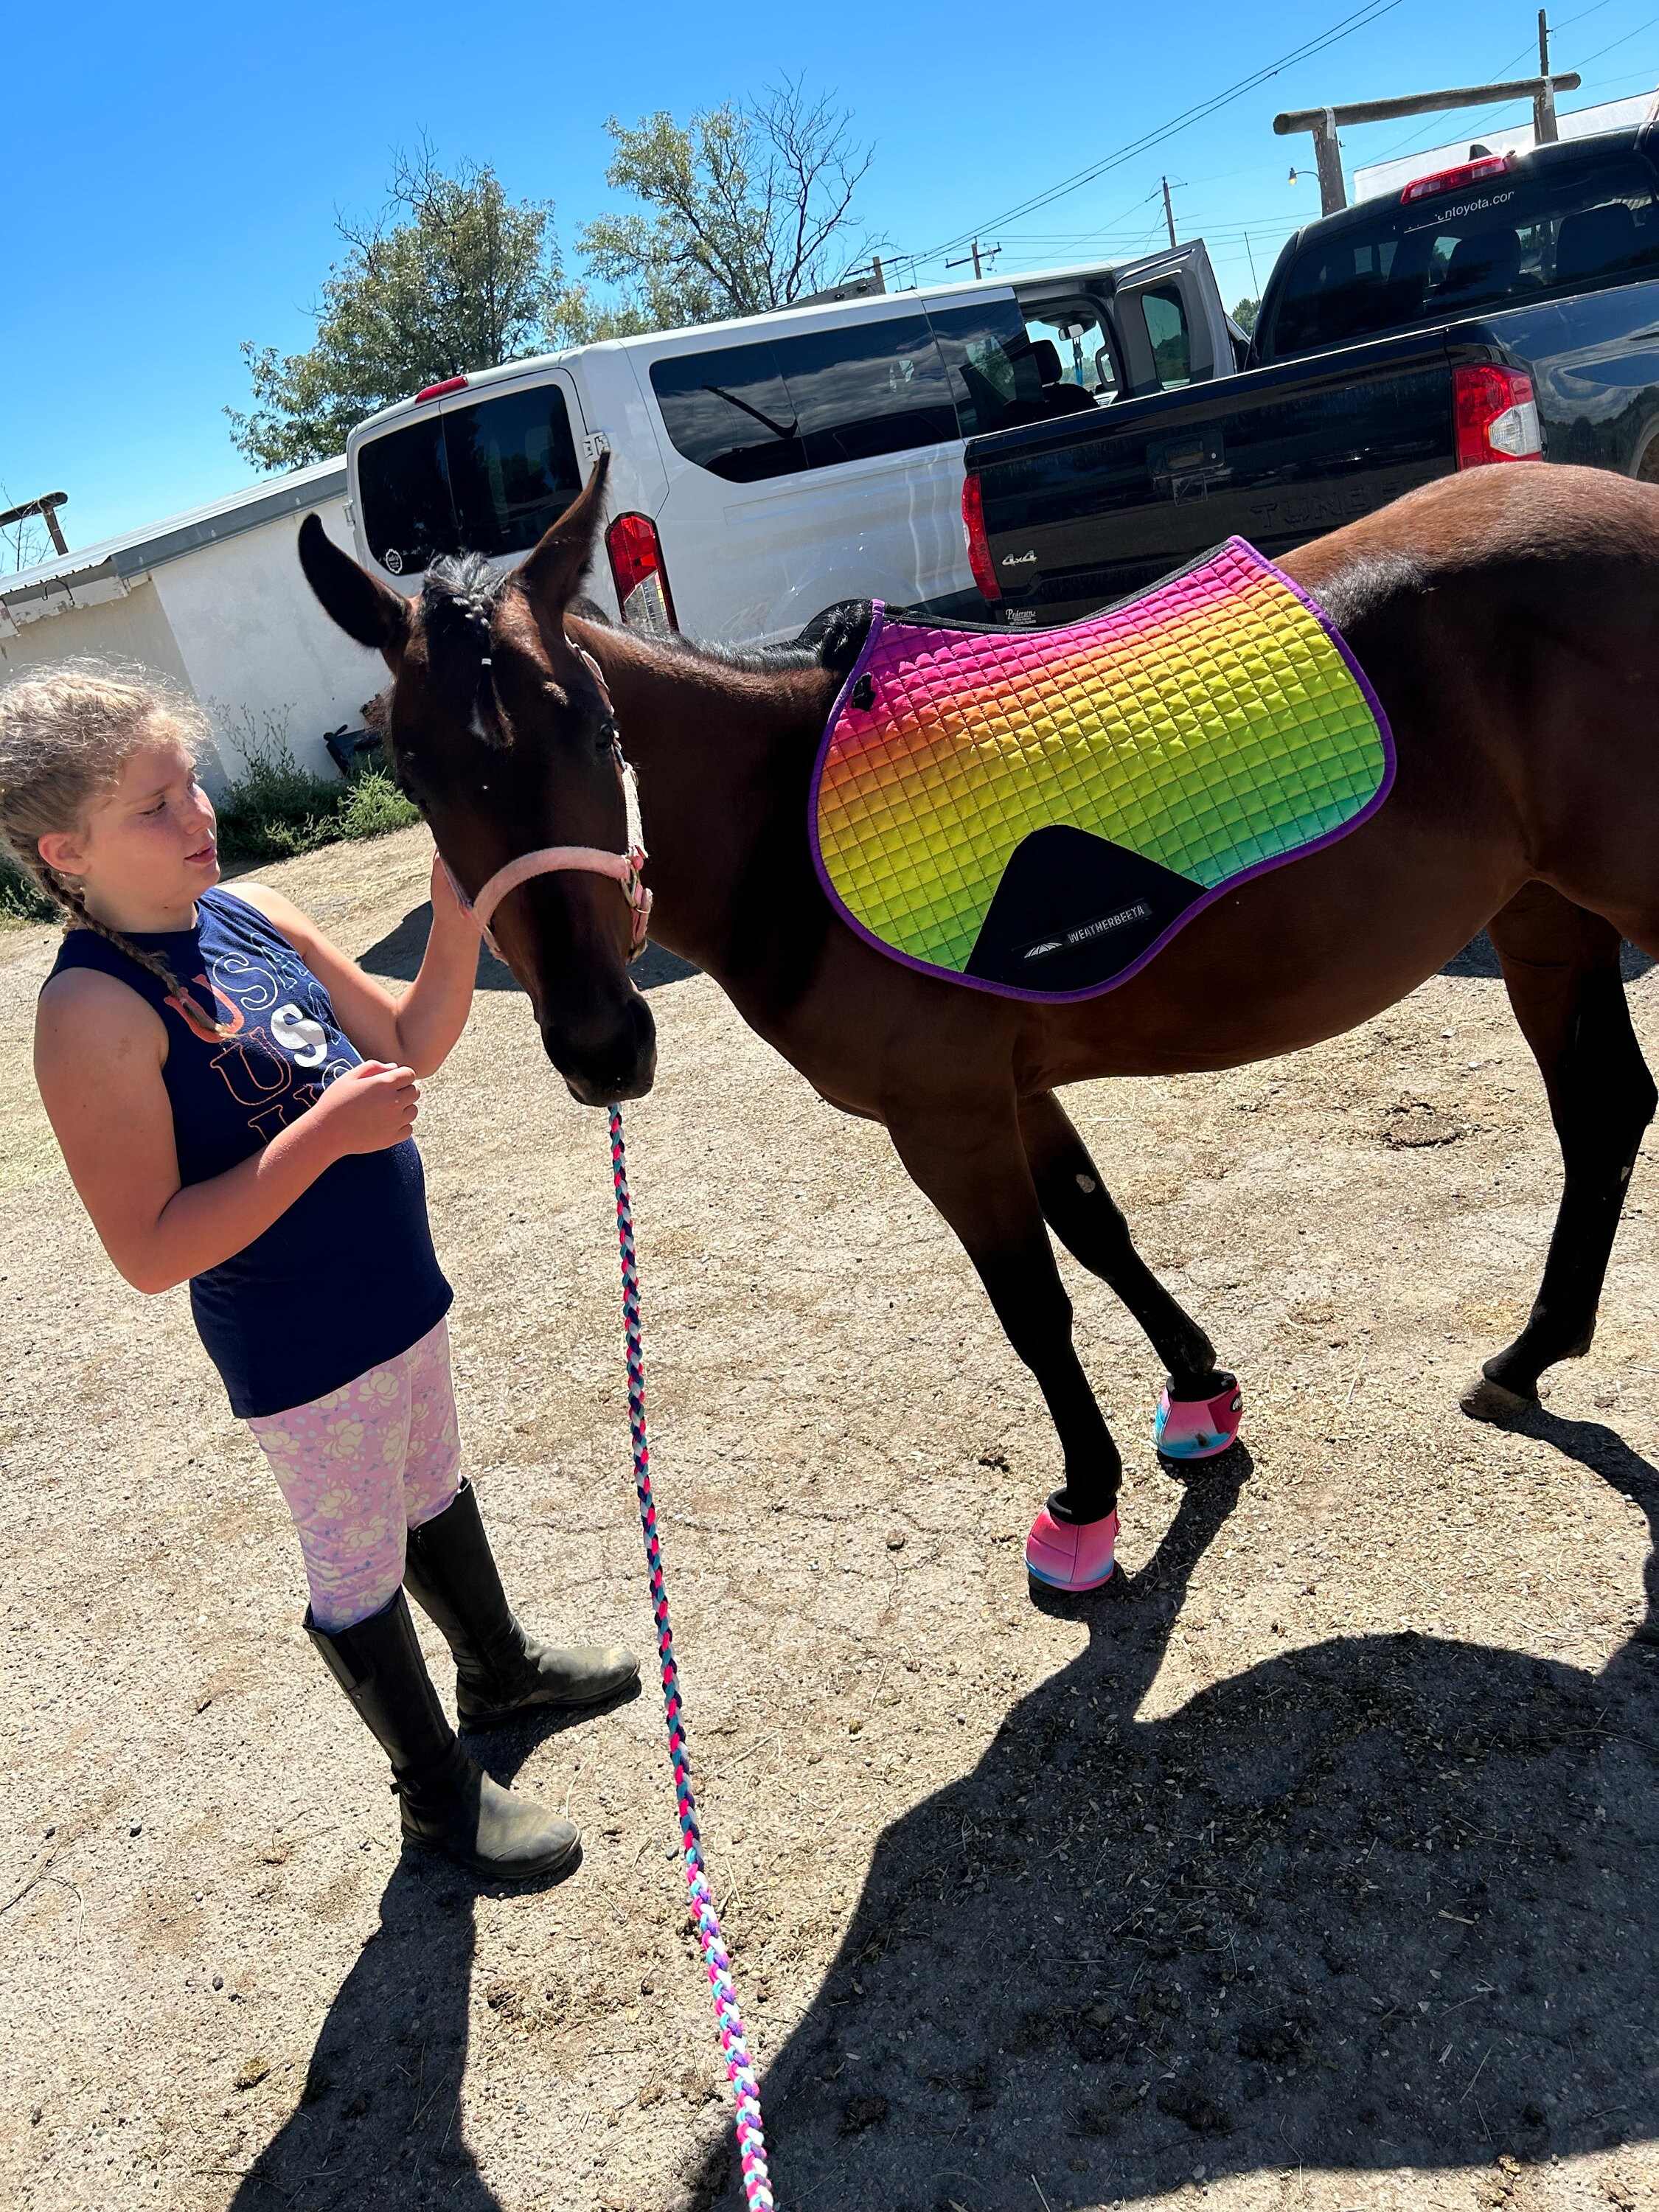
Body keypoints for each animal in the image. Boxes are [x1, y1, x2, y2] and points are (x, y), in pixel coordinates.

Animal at [298, 456, 1659, 1580]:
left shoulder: (946, 1122)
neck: (789, 829)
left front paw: (1087, 1502)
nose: (601, 1045)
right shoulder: (1015, 1088)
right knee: (1603, 1114)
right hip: (1544, 921)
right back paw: (1526, 1359)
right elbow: (1098, 1231)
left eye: (592, 729)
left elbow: (1031, 1302)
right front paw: (1200, 1396)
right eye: (415, 769)